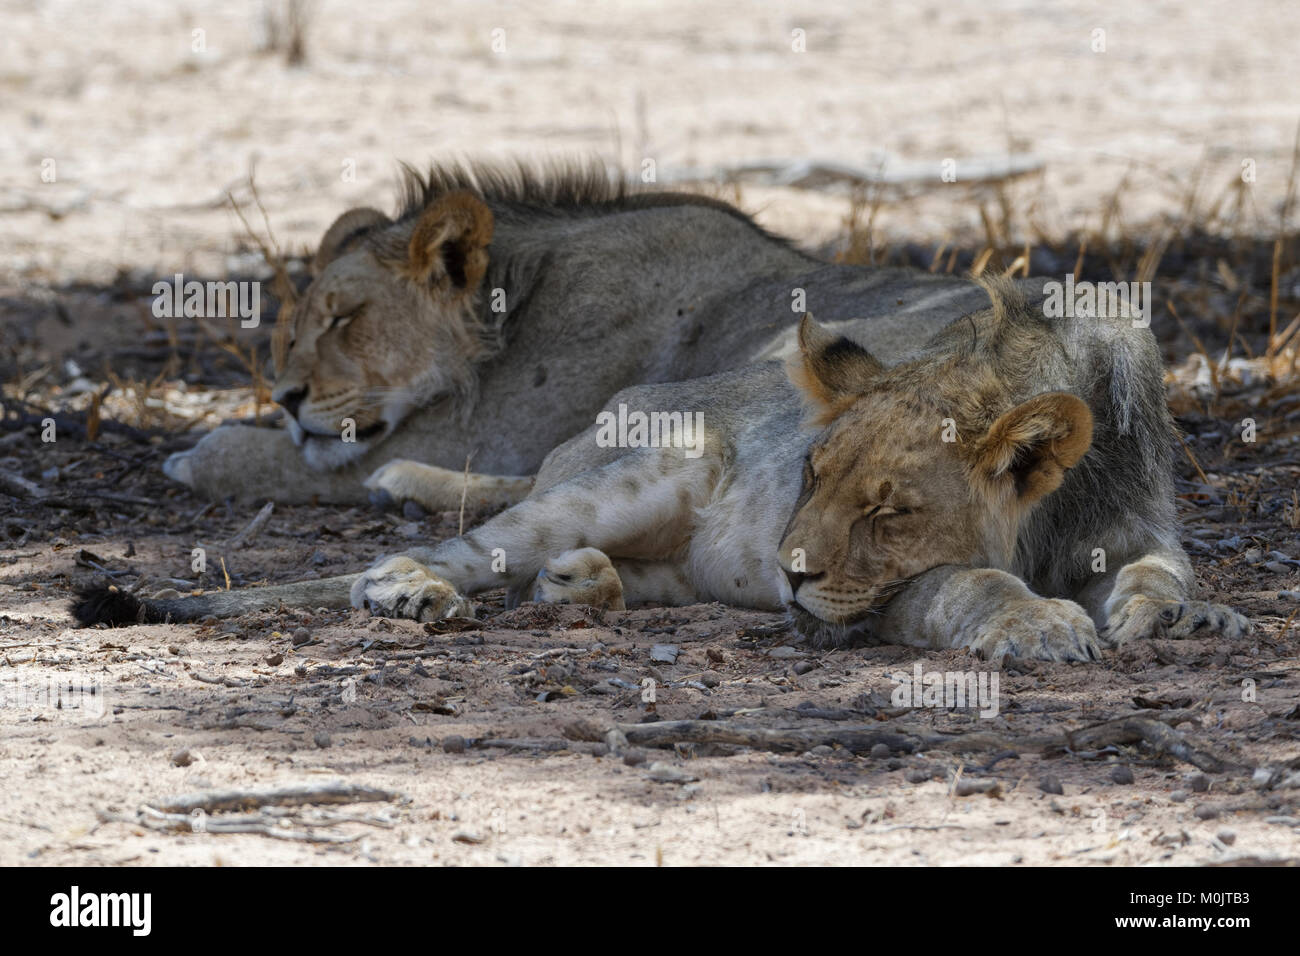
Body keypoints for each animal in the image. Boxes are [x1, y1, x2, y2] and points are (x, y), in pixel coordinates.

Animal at [76, 277, 1249, 661]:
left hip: (665, 550)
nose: (789, 574)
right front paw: (1039, 621)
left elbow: (1166, 570)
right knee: (449, 552)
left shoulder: (1140, 527)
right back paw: (414, 590)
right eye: (810, 473)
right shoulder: (880, 603)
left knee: (605, 577)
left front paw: (1186, 614)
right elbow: (976, 581)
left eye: (890, 508)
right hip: (636, 471)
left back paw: (581, 586)